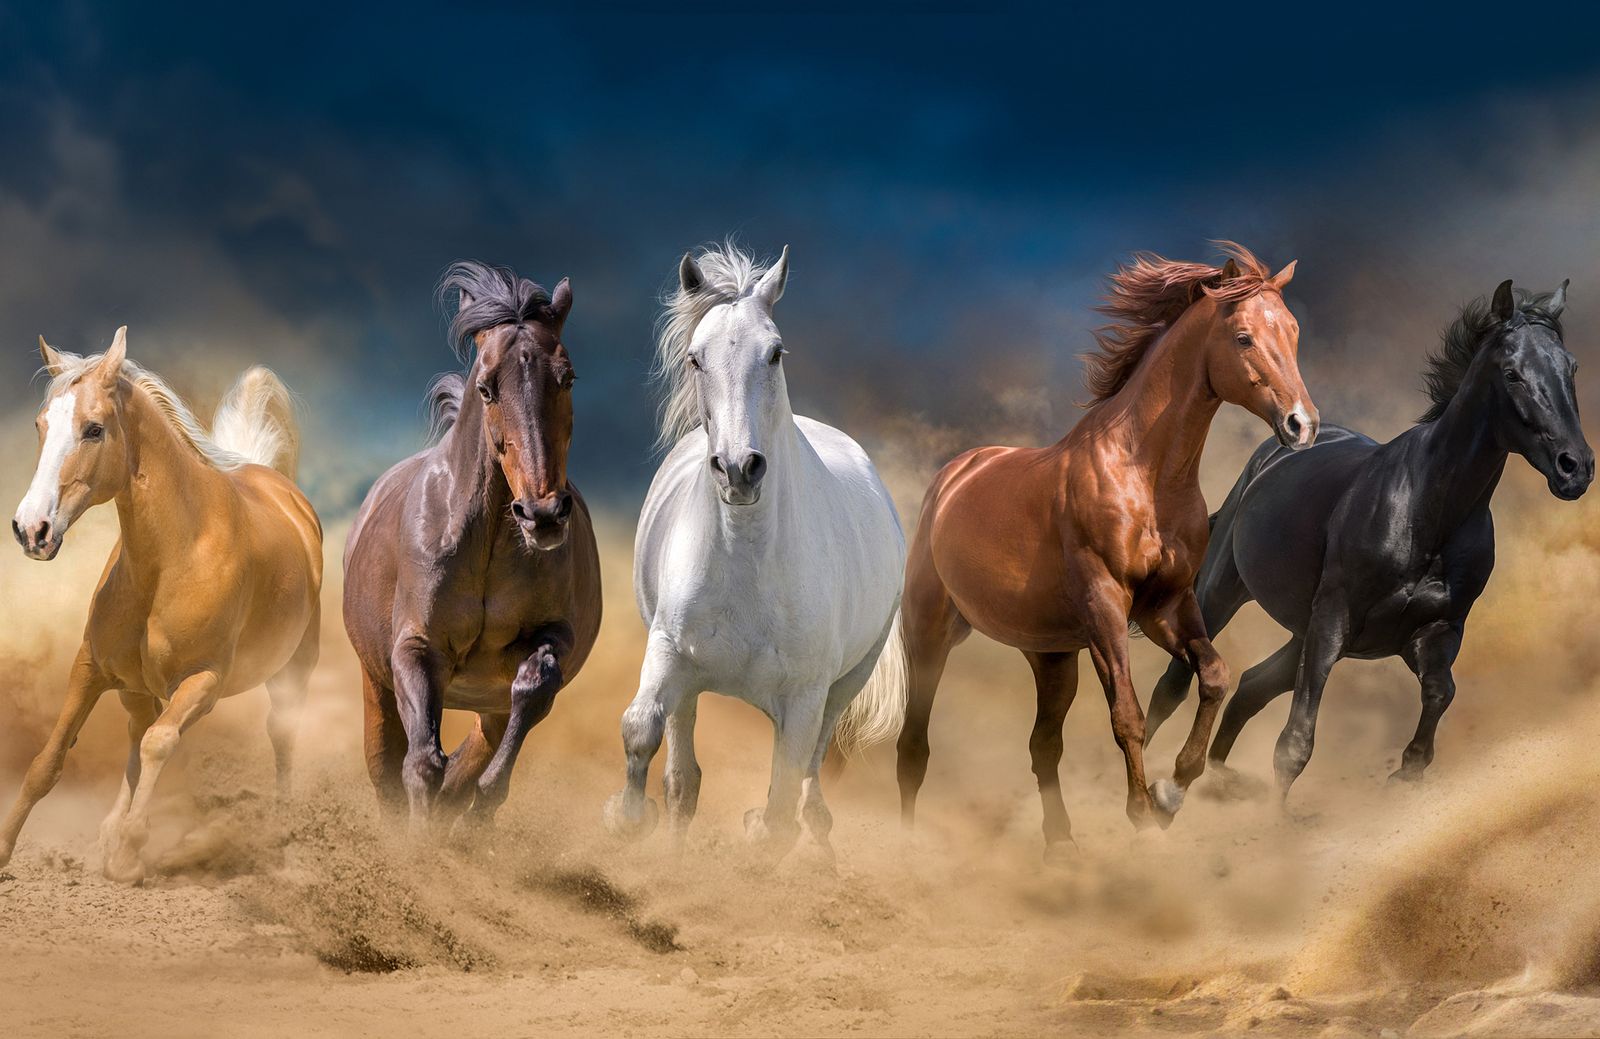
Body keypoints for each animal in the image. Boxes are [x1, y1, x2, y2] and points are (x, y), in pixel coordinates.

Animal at [2, 327, 319, 883]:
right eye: (41, 424)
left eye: (93, 430)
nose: (31, 529)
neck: (173, 558)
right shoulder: (91, 667)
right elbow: (49, 759)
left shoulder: (203, 681)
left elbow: (160, 743)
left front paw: (130, 855)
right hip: (134, 686)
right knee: (134, 733)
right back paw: (109, 830)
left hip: (292, 674)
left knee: (279, 738)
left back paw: (280, 837)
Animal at [343, 262, 601, 831]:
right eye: (486, 388)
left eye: (568, 377)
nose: (542, 514)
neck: (486, 547)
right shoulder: (415, 648)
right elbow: (420, 764)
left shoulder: (554, 637)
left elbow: (533, 688)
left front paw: (481, 801)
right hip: (375, 684)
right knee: (383, 766)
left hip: (486, 703)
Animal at [603, 243, 906, 860]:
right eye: (695, 358)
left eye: (775, 352)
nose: (740, 468)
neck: (749, 561)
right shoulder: (668, 651)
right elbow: (641, 730)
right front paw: (628, 821)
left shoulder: (806, 697)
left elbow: (781, 804)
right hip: (690, 683)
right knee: (683, 772)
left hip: (846, 682)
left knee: (808, 772)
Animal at [896, 243, 1318, 860]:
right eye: (1243, 337)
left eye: (1292, 330)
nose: (1302, 425)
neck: (1144, 471)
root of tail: (955, 474)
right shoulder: (1106, 606)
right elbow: (1128, 715)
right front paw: (1142, 813)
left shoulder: (1167, 606)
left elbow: (1214, 675)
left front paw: (1172, 790)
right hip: (928, 633)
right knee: (913, 748)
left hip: (1051, 657)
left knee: (1042, 745)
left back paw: (1062, 846)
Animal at [1147, 280, 1592, 804]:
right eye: (1512, 373)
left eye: (1571, 367)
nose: (1576, 468)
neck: (1426, 513)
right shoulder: (1332, 621)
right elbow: (1295, 742)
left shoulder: (1436, 631)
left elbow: (1441, 694)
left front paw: (1407, 771)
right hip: (1224, 592)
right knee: (1173, 686)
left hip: (1301, 633)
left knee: (1253, 686)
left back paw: (1217, 780)